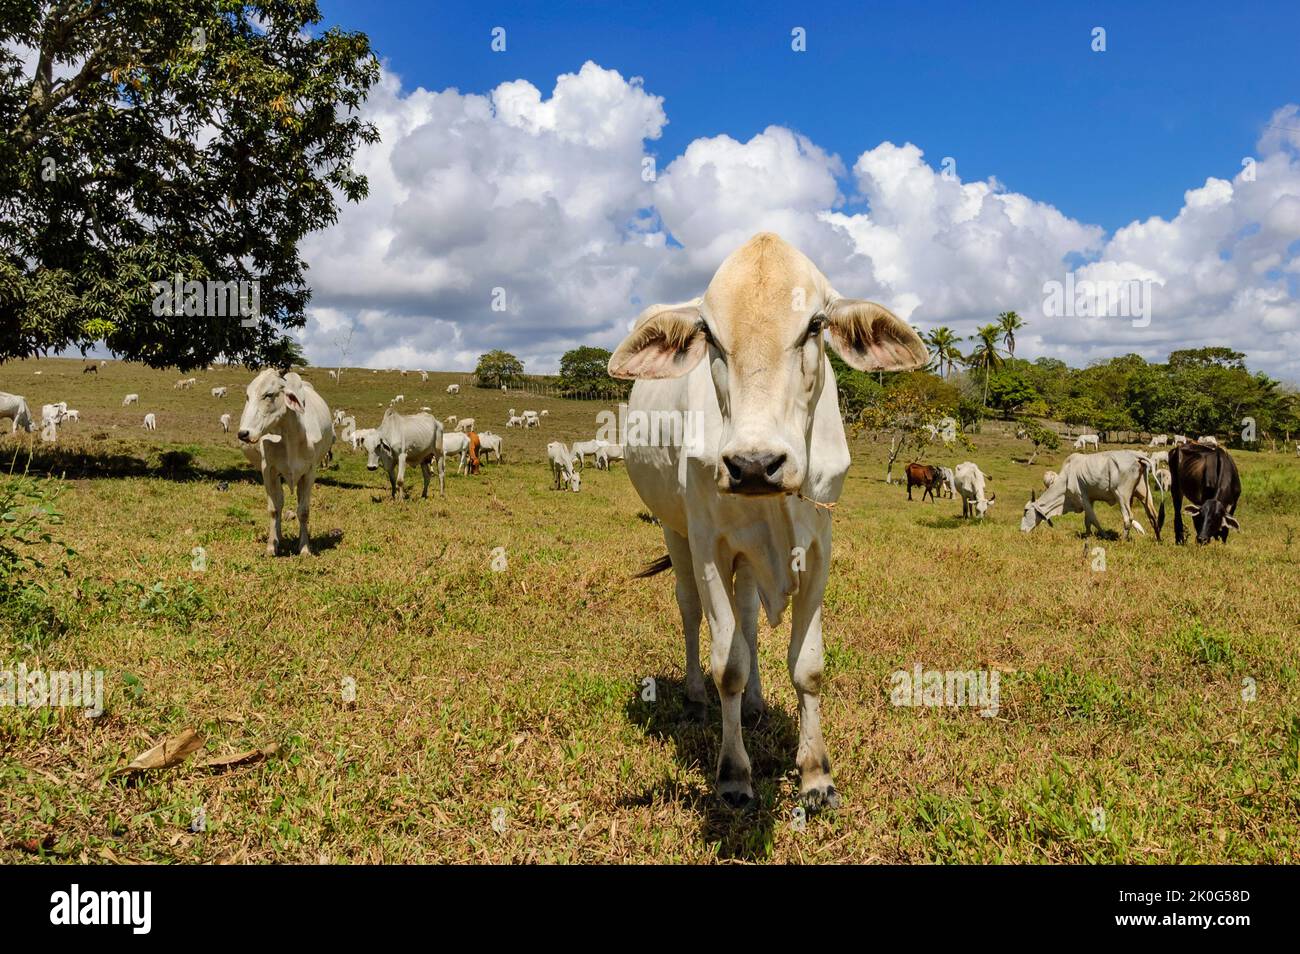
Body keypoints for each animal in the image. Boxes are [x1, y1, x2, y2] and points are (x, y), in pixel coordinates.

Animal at [237, 370, 334, 556]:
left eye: (268, 395)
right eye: (247, 396)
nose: (243, 433)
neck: (291, 435)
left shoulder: (309, 472)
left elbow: (303, 511)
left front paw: (304, 547)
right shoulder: (268, 470)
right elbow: (274, 509)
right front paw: (271, 545)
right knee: (280, 502)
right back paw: (278, 537)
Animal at [608, 232, 929, 810]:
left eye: (816, 326)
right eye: (709, 334)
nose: (754, 464)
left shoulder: (819, 547)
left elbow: (807, 664)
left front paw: (816, 775)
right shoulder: (710, 545)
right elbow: (727, 663)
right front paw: (734, 774)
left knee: (749, 618)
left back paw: (756, 704)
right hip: (676, 532)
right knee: (692, 613)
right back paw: (697, 698)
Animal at [1021, 450, 1160, 541]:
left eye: (1026, 511)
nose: (1021, 530)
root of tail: (1136, 455)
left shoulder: (1082, 498)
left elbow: (1093, 519)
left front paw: (1104, 535)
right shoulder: (1090, 499)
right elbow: (1087, 521)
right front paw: (1088, 535)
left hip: (1121, 495)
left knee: (1128, 517)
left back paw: (1123, 540)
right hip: (1143, 493)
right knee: (1153, 514)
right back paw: (1158, 538)